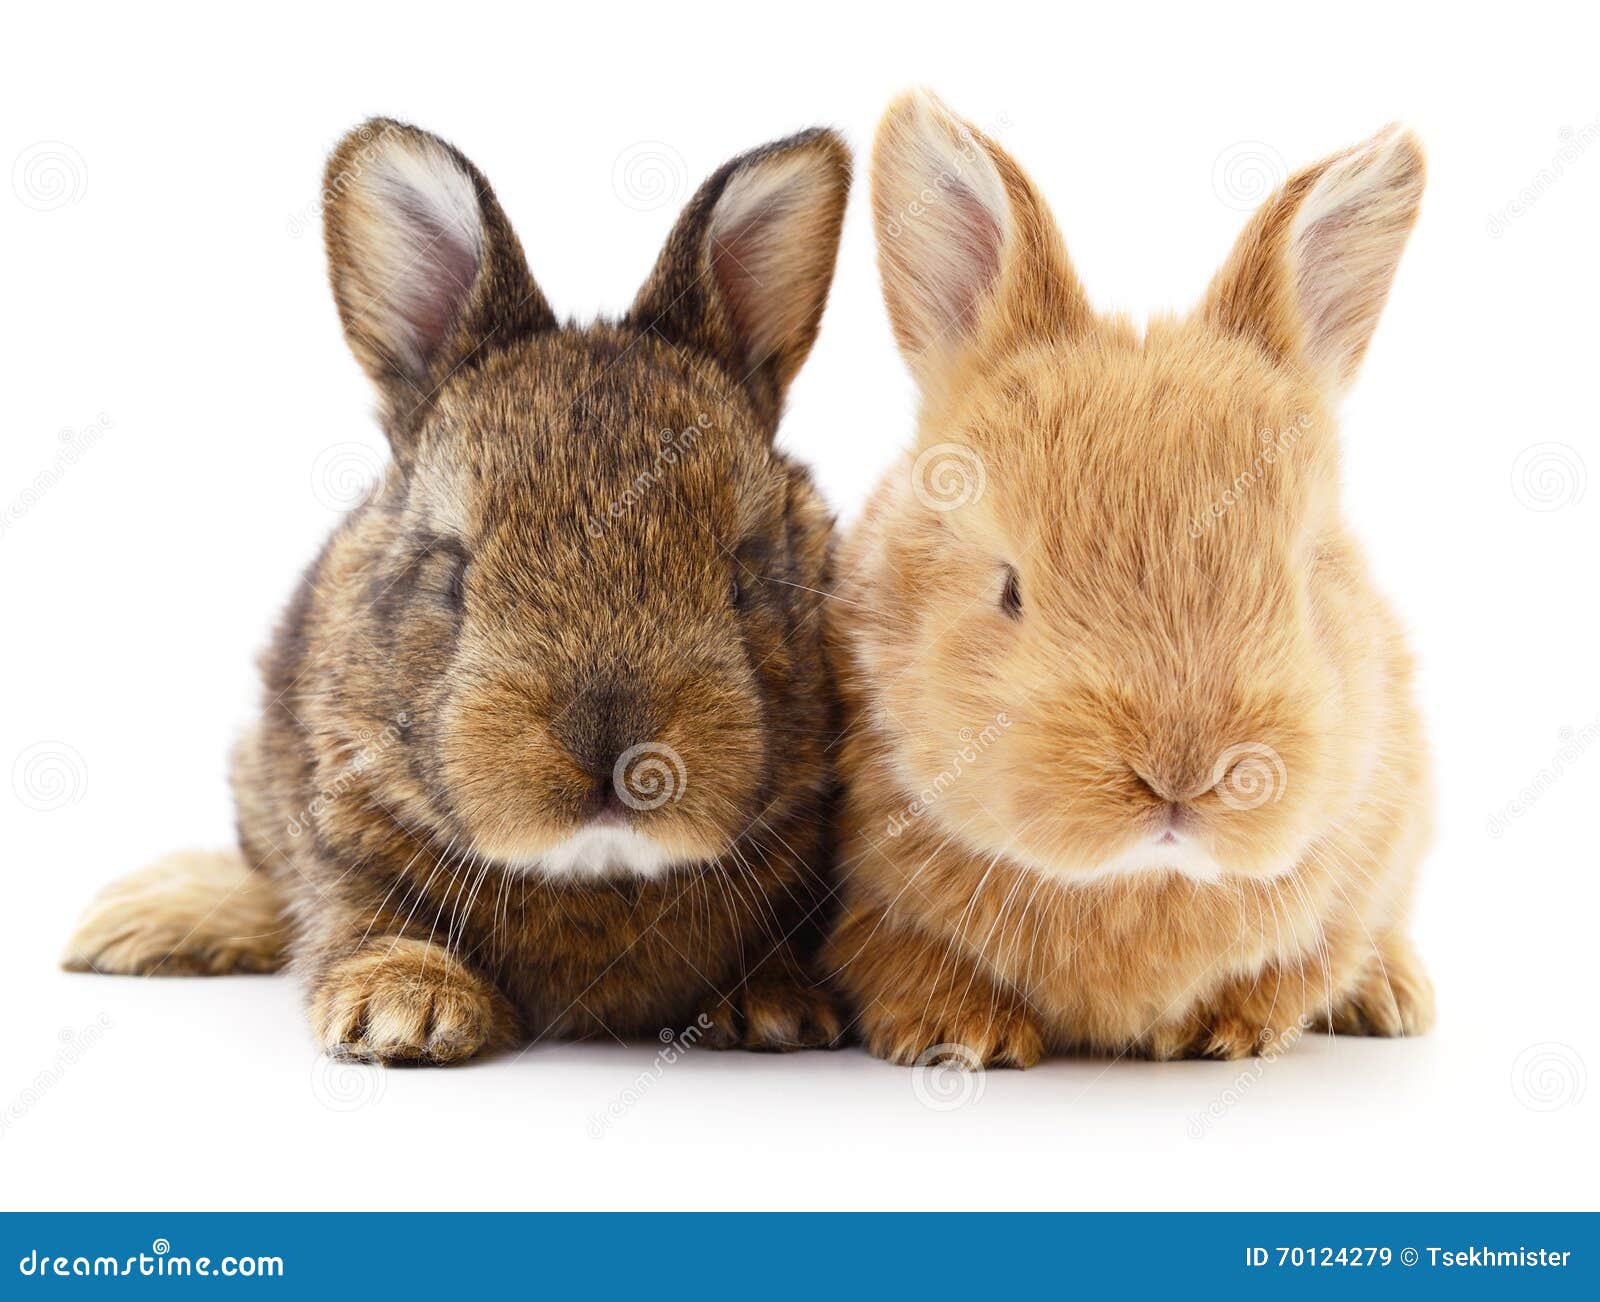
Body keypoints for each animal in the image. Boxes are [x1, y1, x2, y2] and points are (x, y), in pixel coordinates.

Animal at [63, 118, 853, 1064]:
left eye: (746, 571)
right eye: (452, 568)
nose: (614, 751)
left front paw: (776, 1007)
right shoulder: (340, 823)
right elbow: (359, 916)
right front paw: (402, 1009)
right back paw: (139, 922)